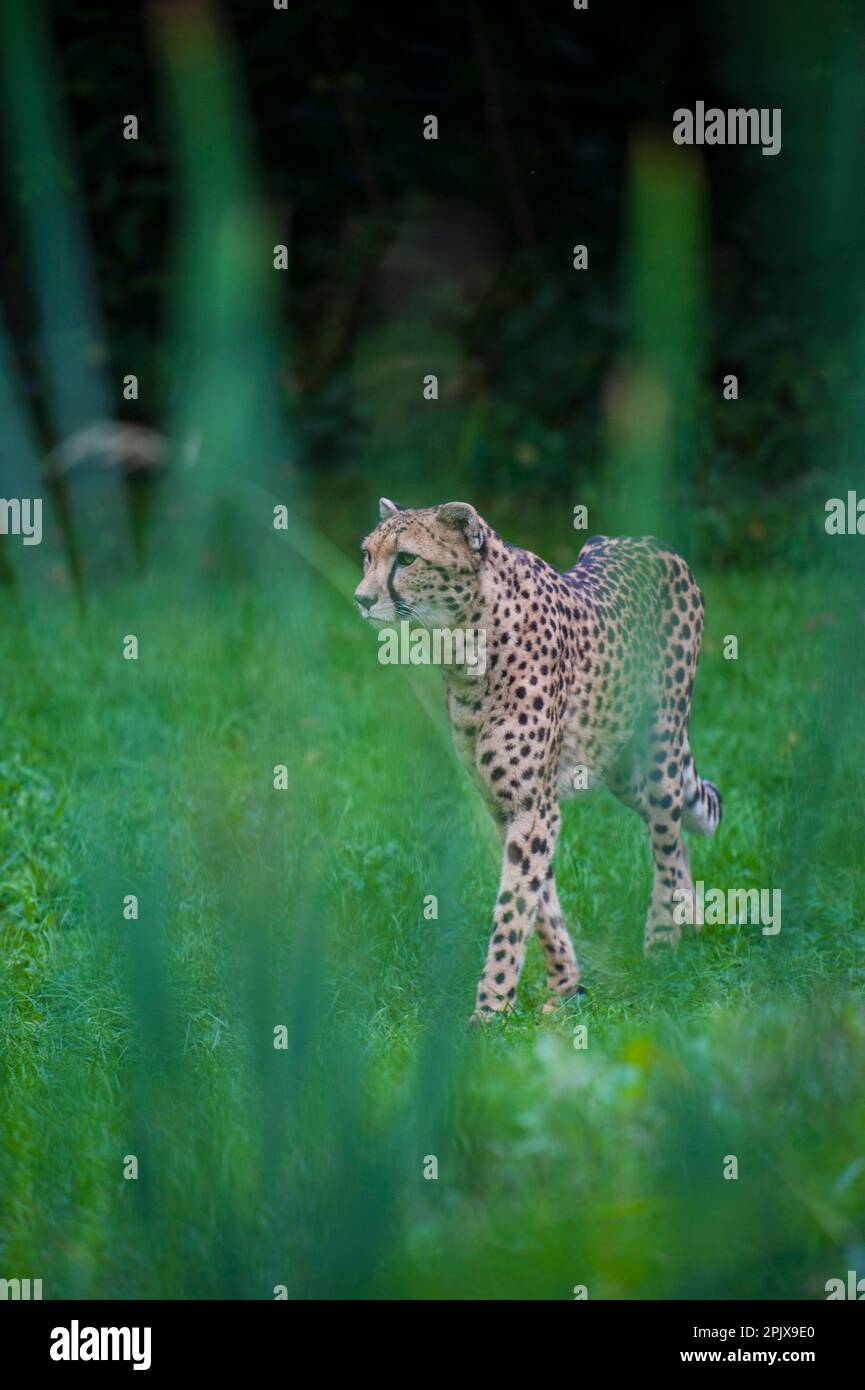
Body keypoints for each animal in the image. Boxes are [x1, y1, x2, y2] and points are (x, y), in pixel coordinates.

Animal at [355, 497, 722, 1023]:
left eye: (406, 559)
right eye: (367, 555)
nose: (362, 599)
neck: (465, 639)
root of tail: (646, 542)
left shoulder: (533, 806)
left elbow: (513, 909)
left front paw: (489, 1011)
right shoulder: (505, 805)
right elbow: (538, 900)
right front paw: (565, 989)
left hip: (660, 743)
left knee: (667, 836)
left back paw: (662, 945)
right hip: (620, 766)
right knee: (668, 824)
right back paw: (686, 916)